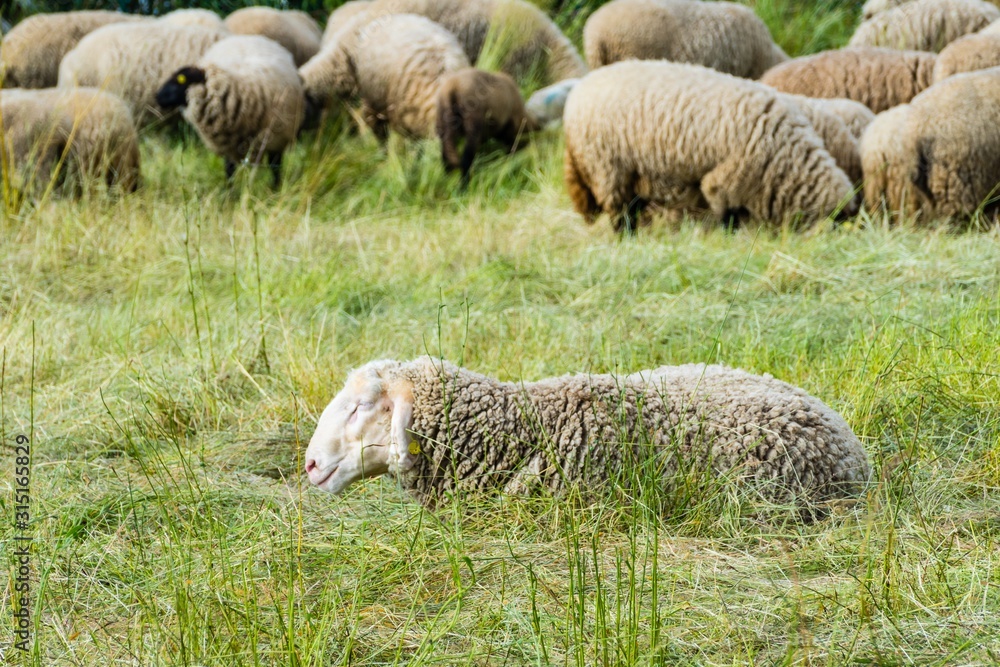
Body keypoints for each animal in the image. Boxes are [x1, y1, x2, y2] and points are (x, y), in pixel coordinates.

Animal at [155, 35, 305, 187]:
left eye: (179, 81)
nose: (157, 96)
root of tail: (250, 37)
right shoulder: (227, 146)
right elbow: (229, 170)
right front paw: (229, 191)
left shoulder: (276, 140)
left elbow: (275, 168)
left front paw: (275, 189)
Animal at [562, 61, 856, 233]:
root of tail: (579, 90)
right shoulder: (724, 181)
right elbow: (726, 213)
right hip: (608, 169)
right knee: (620, 213)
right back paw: (626, 238)